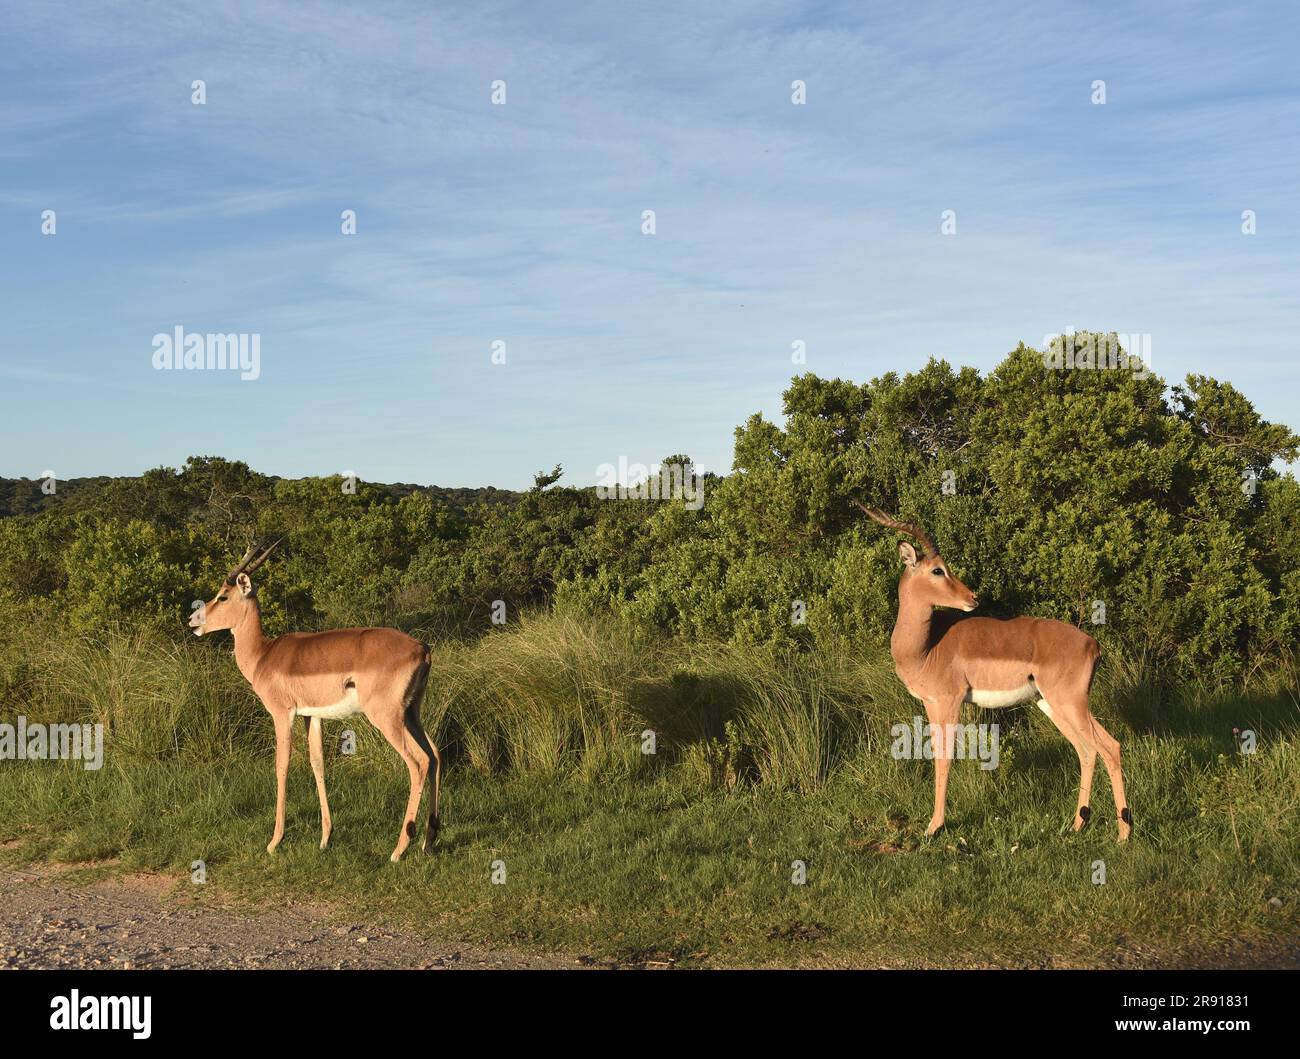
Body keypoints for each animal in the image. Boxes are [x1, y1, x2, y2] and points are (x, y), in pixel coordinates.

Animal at [189, 541, 442, 861]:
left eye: (222, 595)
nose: (193, 621)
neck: (263, 655)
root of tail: (422, 649)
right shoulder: (313, 716)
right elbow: (317, 764)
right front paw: (325, 838)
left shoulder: (282, 713)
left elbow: (282, 764)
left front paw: (274, 842)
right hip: (411, 713)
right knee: (435, 754)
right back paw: (429, 840)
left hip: (387, 717)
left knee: (419, 762)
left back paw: (399, 849)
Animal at [858, 505, 1131, 841]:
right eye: (938, 570)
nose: (972, 598)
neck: (926, 648)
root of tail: (1093, 644)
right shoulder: (931, 703)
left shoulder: (949, 700)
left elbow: (945, 757)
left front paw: (934, 827)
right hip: (1051, 704)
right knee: (1087, 751)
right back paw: (1077, 824)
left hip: (1070, 702)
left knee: (1110, 747)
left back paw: (1123, 834)